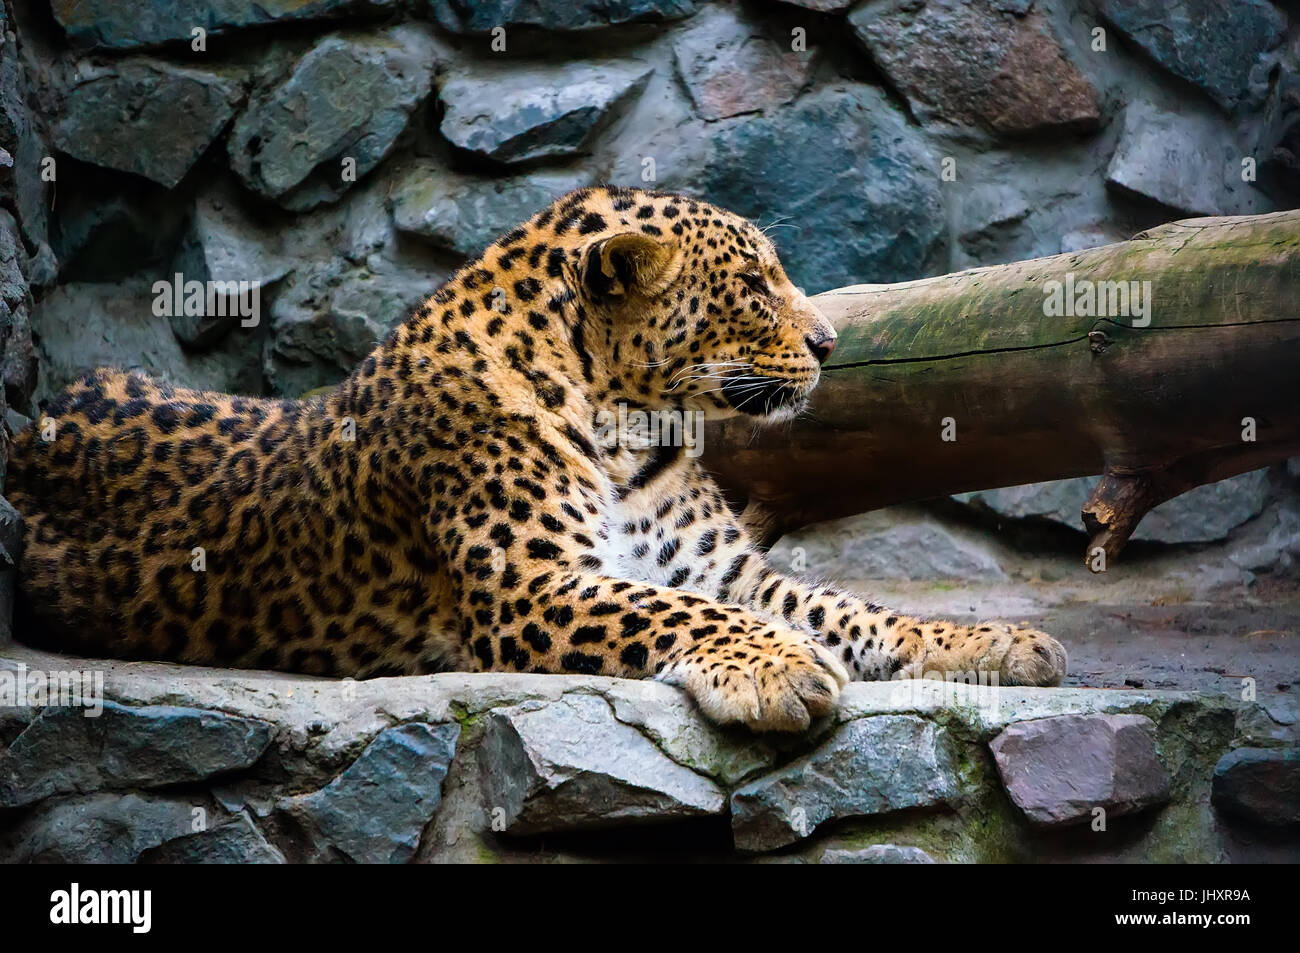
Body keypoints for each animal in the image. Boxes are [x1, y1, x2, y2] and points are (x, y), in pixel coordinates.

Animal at [6, 186, 1067, 732]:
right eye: (755, 286)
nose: (831, 343)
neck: (631, 425)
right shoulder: (532, 584)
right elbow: (683, 613)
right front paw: (778, 668)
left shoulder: (727, 569)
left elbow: (852, 609)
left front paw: (998, 641)